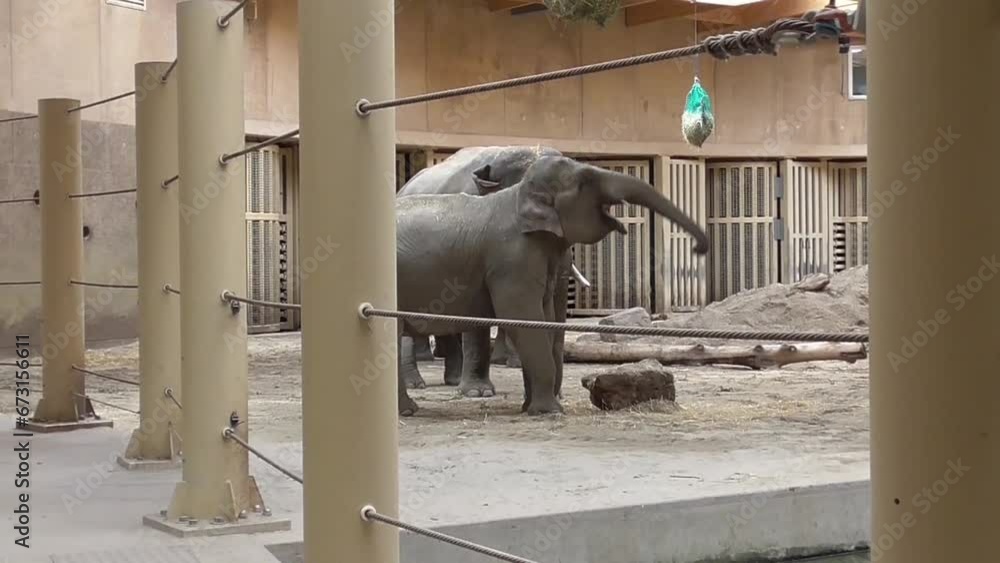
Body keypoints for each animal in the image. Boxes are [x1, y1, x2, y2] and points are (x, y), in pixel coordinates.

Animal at [395, 155, 709, 416]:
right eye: (586, 180)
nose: (699, 248)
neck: (519, 193)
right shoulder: (512, 258)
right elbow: (523, 317)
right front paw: (549, 411)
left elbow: (543, 317)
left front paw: (532, 407)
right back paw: (410, 407)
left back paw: (409, 410)